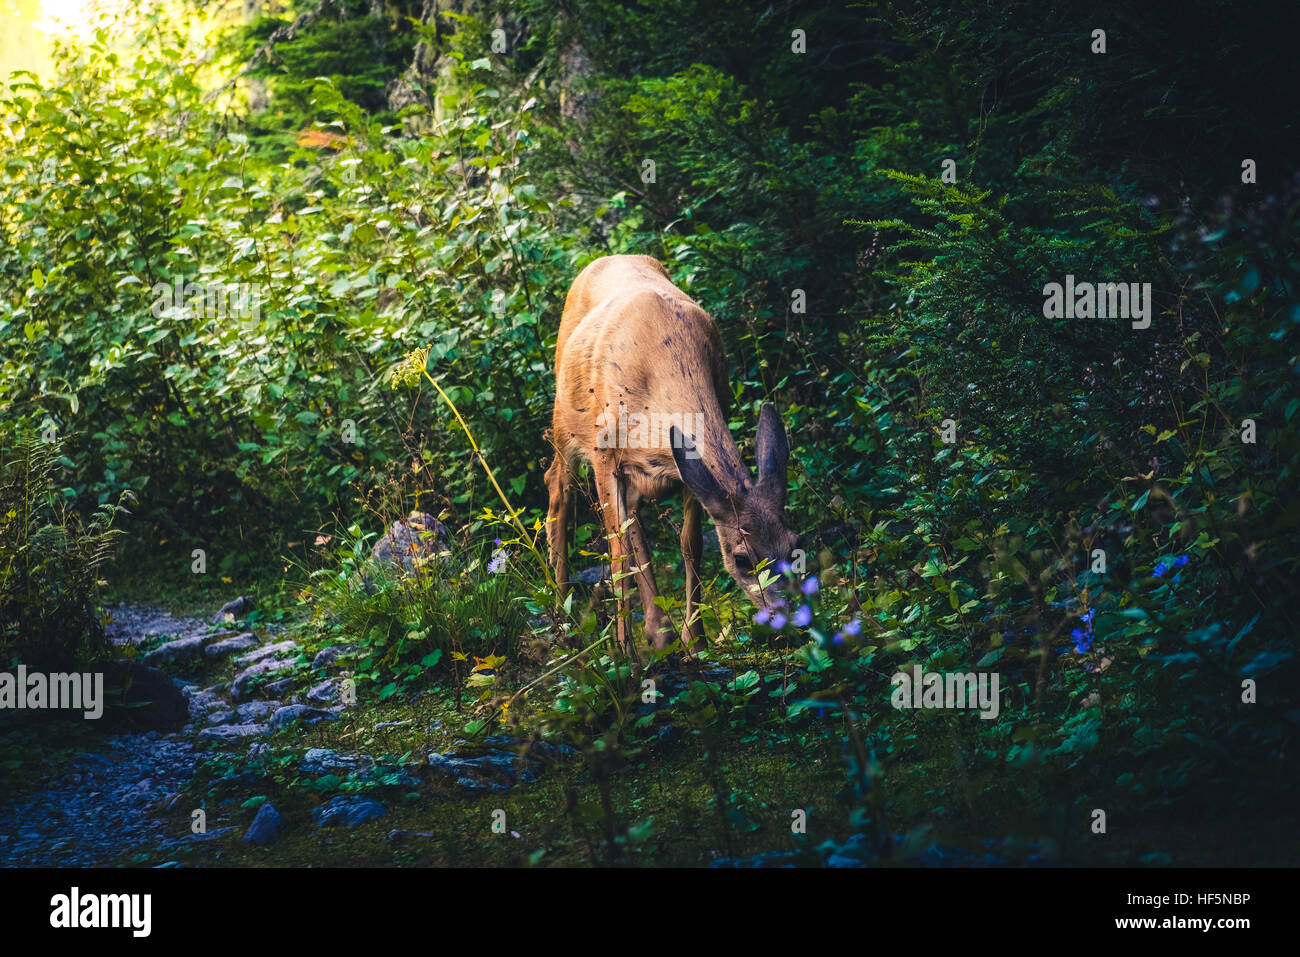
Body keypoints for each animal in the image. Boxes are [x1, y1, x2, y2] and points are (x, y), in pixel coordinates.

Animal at [545, 254, 801, 659]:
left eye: (794, 546)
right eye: (743, 559)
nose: (790, 620)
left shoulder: (686, 465)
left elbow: (690, 544)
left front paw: (693, 640)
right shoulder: (604, 453)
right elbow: (617, 553)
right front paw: (627, 655)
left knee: (635, 519)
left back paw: (658, 631)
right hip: (564, 417)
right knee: (557, 487)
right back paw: (566, 621)